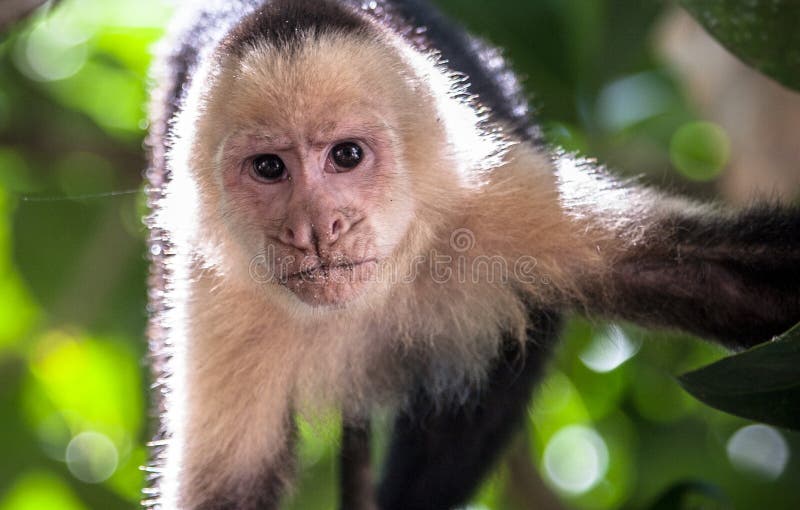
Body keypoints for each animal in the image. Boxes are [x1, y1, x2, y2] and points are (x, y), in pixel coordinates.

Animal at [144, 0, 800, 509]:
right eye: (269, 168)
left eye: (346, 156)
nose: (316, 229)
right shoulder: (221, 297)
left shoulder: (499, 204)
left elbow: (725, 281)